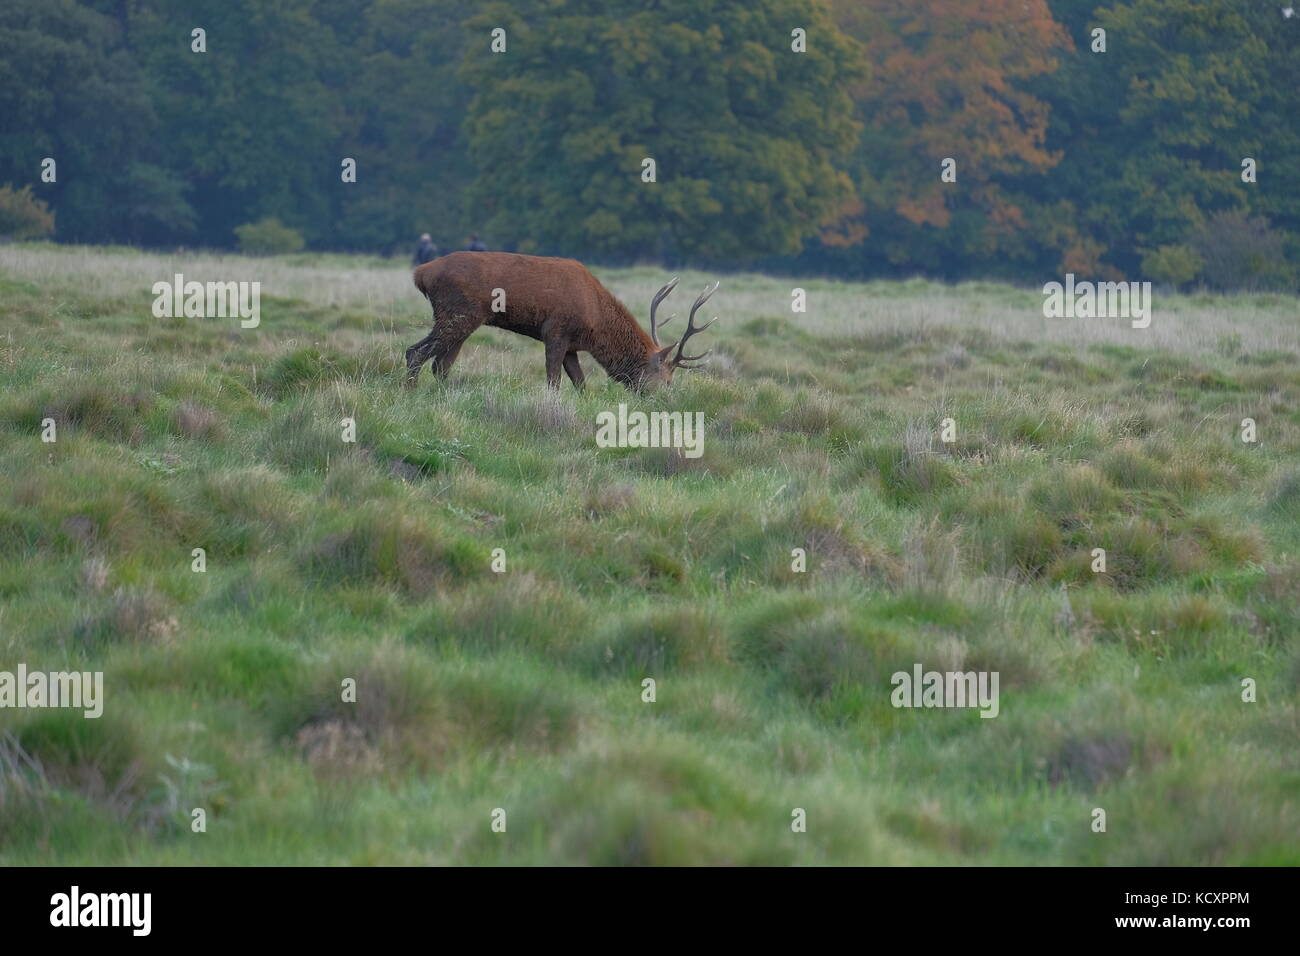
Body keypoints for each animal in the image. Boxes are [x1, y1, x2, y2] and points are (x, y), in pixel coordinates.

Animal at [405, 251, 718, 391]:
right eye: (667, 381)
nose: (665, 403)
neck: (595, 323)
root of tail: (421, 273)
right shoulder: (556, 331)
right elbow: (553, 381)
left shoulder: (571, 346)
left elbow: (581, 384)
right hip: (458, 313)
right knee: (415, 352)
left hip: (462, 320)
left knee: (440, 366)